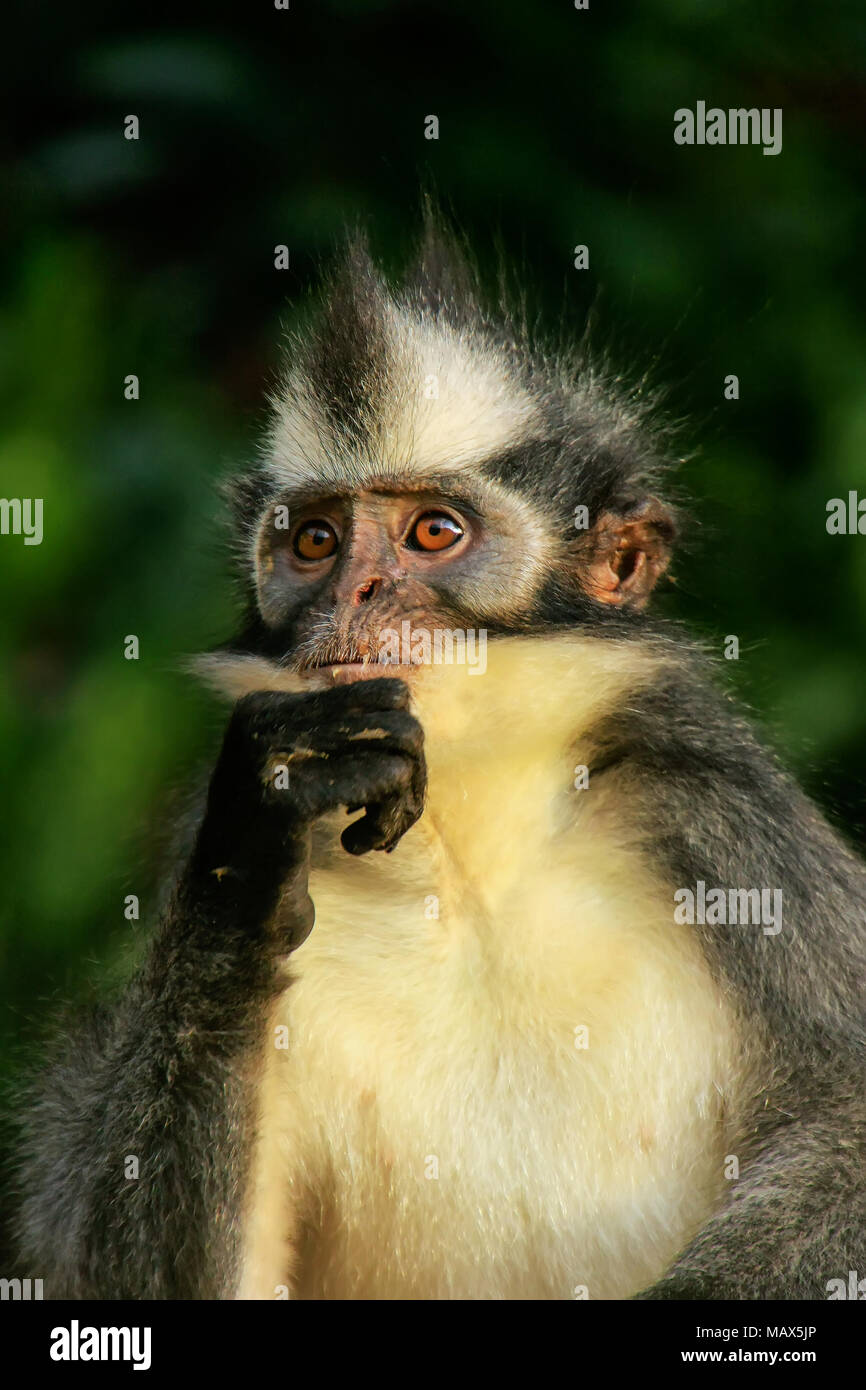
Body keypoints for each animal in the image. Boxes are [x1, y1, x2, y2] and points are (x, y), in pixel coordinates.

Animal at [13, 215, 866, 1301]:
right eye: (314, 542)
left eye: (432, 532)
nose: (355, 594)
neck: (467, 863)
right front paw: (255, 845)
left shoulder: (713, 812)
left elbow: (847, 1117)